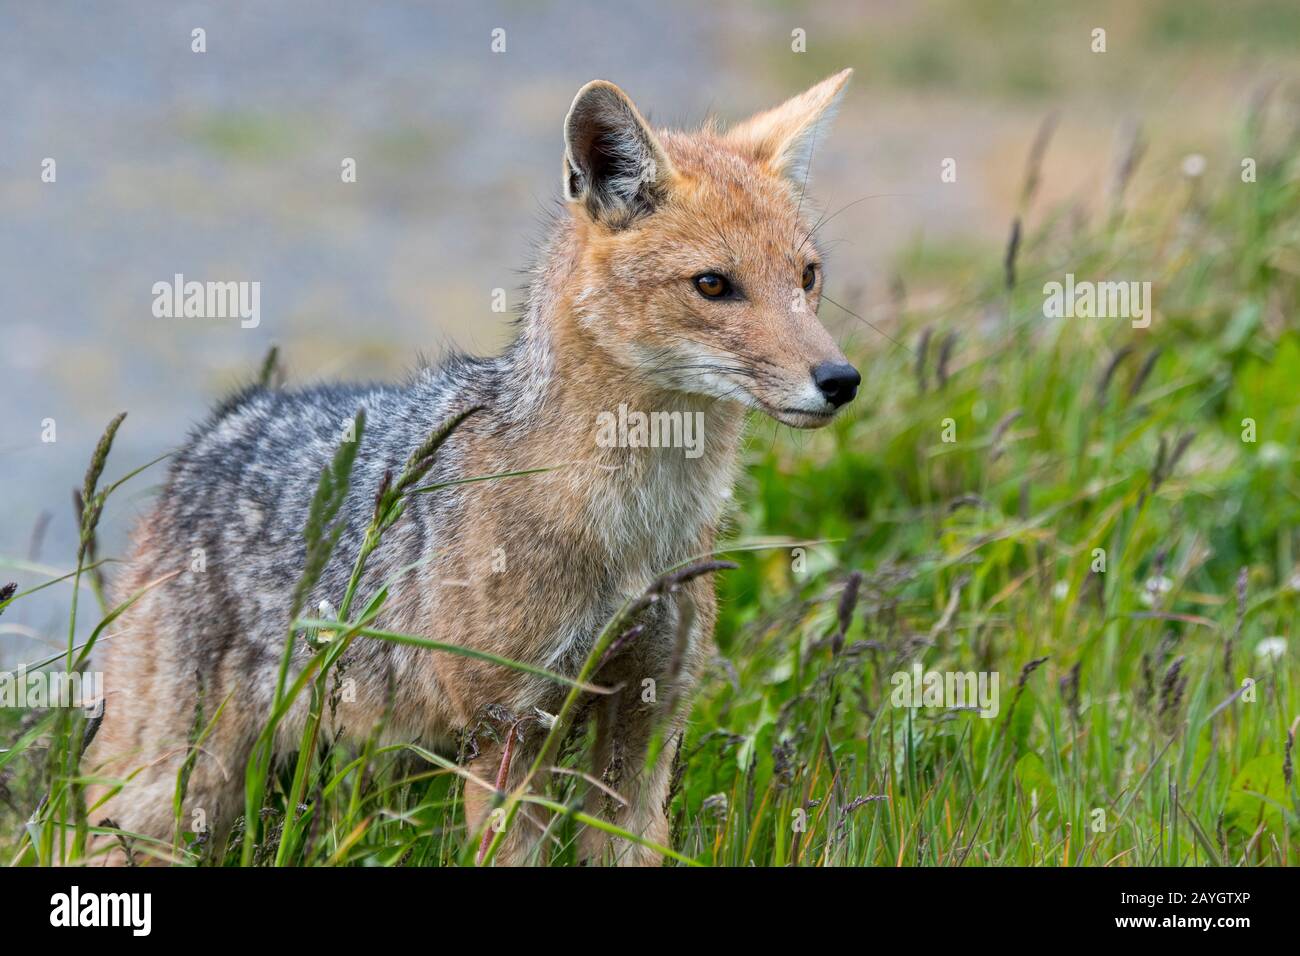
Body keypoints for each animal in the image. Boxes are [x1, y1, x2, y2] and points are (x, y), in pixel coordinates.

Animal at [84, 69, 860, 866]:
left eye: (807, 277)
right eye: (713, 285)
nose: (841, 380)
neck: (632, 531)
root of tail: (225, 425)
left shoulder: (647, 722)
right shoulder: (506, 735)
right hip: (171, 797)